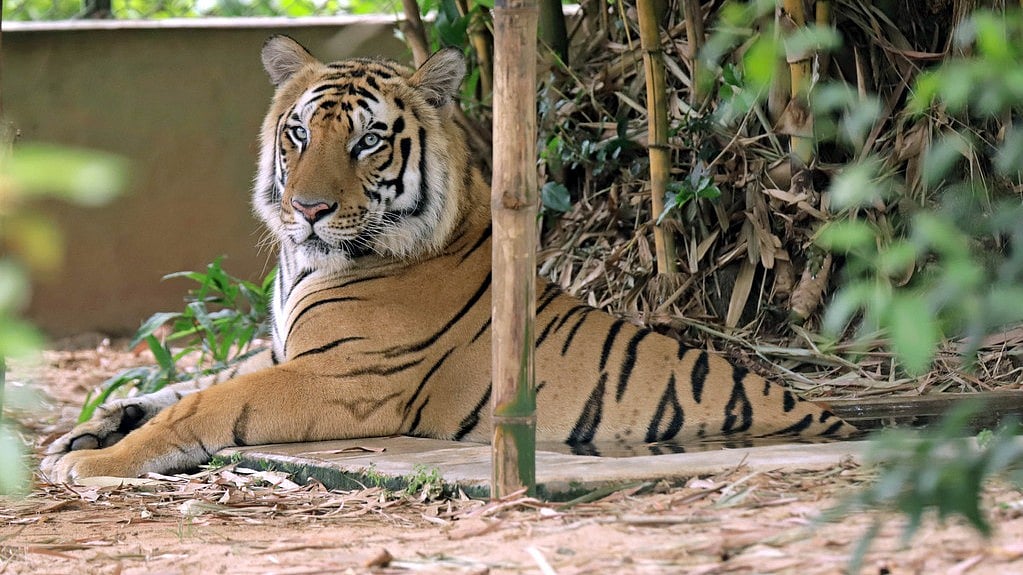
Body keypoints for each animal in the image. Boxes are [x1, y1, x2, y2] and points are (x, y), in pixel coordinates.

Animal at [42, 36, 852, 483]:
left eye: (368, 140)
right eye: (298, 133)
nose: (307, 210)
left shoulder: (341, 377)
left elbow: (207, 402)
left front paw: (94, 460)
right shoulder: (280, 352)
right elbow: (178, 384)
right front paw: (82, 431)